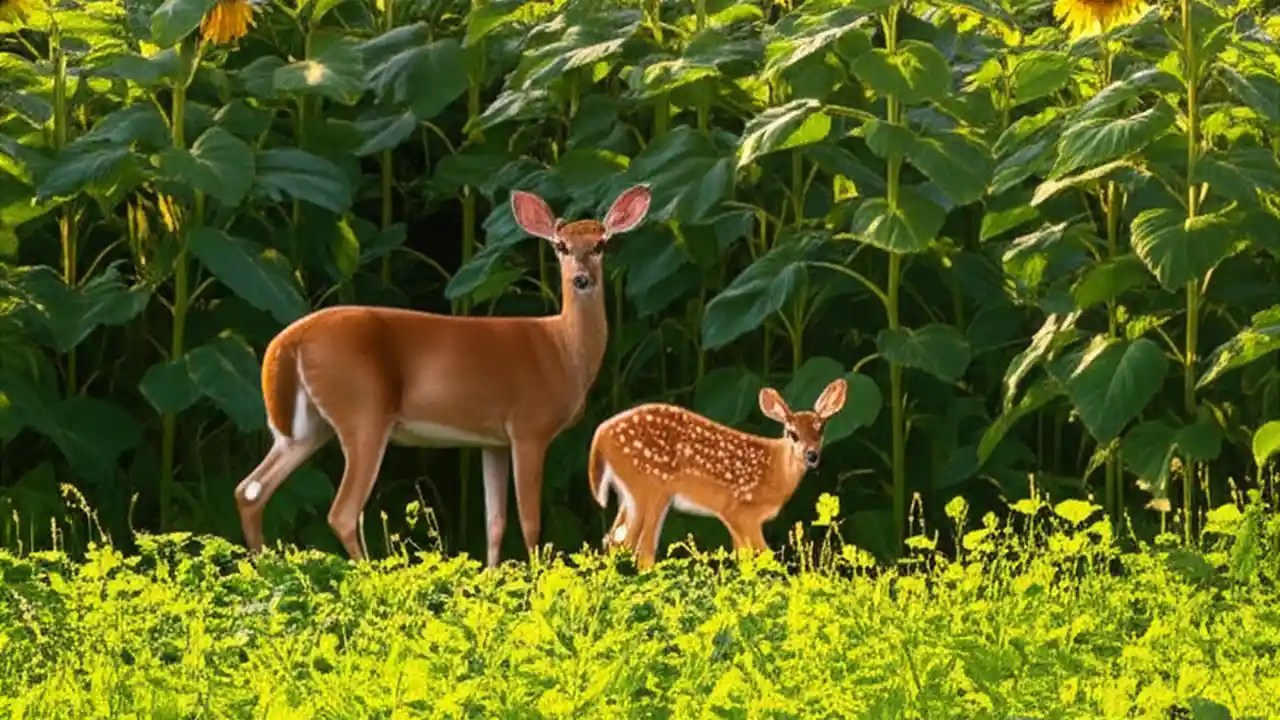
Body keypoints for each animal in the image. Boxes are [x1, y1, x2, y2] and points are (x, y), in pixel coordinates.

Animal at [232, 184, 652, 567]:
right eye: (561, 246)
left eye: (601, 245)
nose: (582, 279)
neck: (563, 352)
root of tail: (288, 339)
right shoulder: (530, 426)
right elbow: (530, 521)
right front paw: (536, 579)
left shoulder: (494, 440)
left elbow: (495, 522)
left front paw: (492, 578)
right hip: (362, 409)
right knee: (342, 512)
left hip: (308, 426)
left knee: (249, 489)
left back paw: (261, 566)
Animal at [587, 377, 848, 568]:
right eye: (792, 433)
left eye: (821, 429)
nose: (812, 455)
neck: (776, 470)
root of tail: (600, 434)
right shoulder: (740, 509)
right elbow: (762, 555)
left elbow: (744, 557)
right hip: (651, 486)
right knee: (639, 546)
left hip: (631, 491)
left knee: (615, 539)